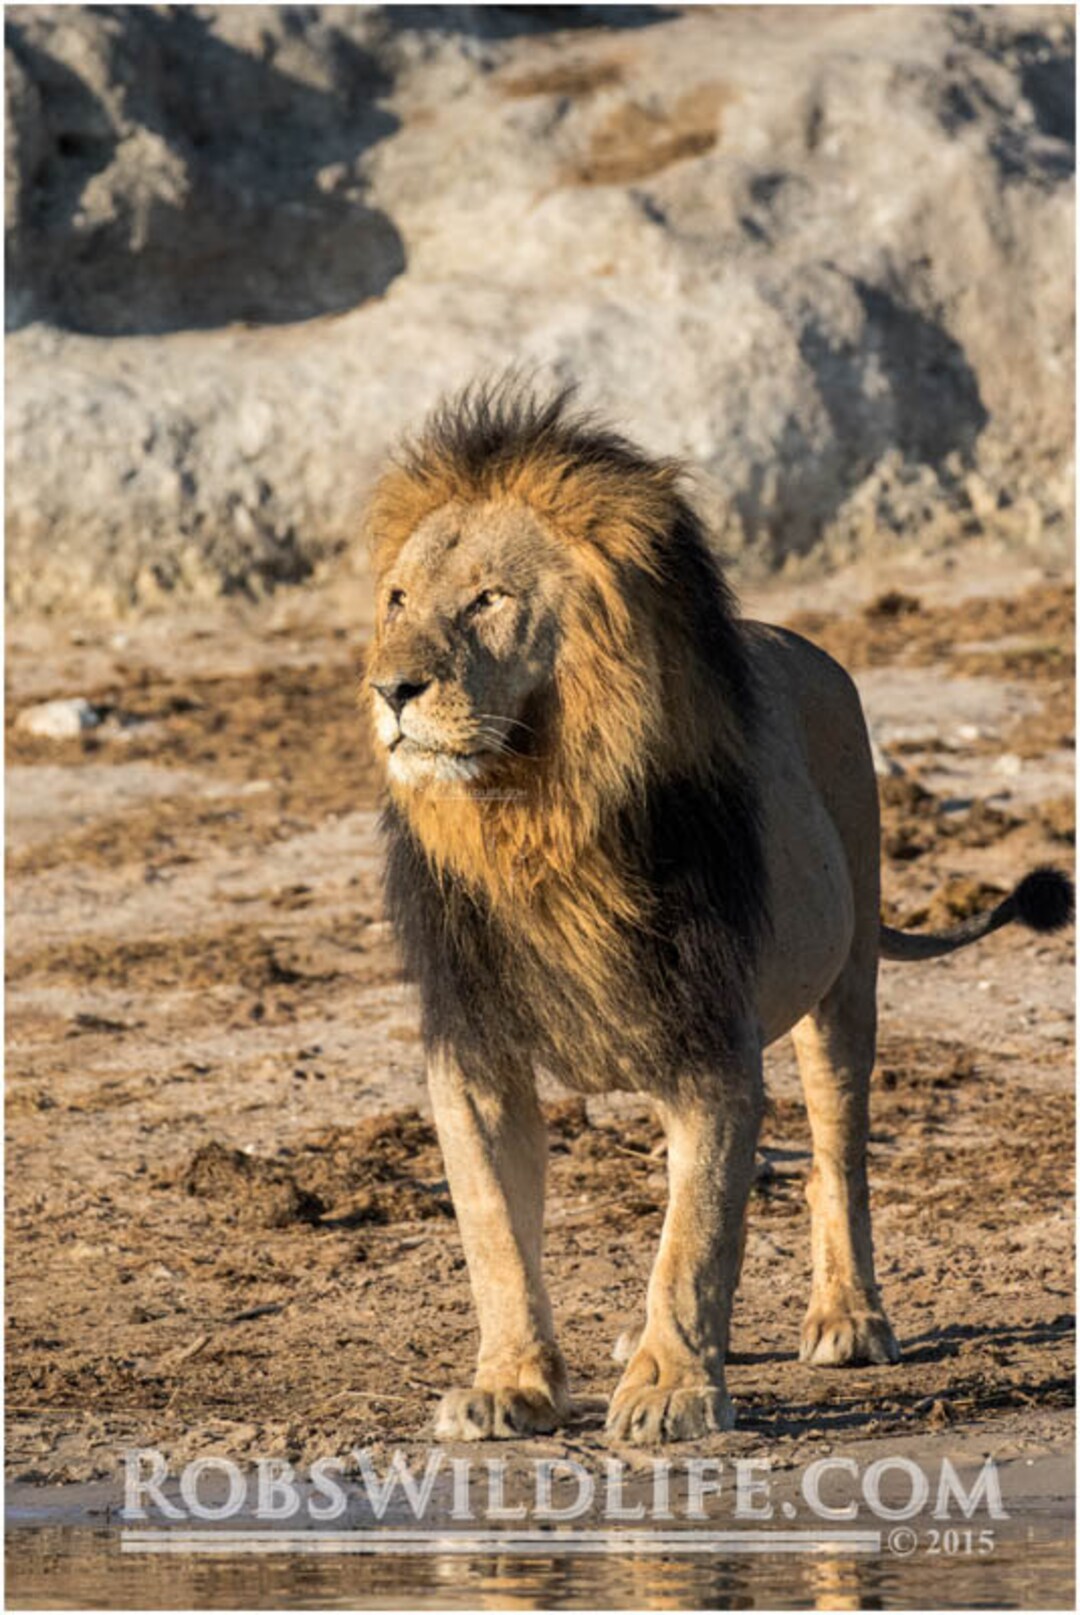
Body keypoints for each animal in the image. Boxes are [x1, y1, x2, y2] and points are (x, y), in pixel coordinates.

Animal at [364, 381, 1073, 1446]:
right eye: (399, 600)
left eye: (489, 598)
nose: (392, 688)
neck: (537, 819)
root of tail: (812, 649)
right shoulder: (472, 1043)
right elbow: (495, 1227)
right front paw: (512, 1383)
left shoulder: (713, 1039)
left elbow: (698, 1230)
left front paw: (670, 1391)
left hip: (846, 979)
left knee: (836, 1156)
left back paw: (848, 1317)